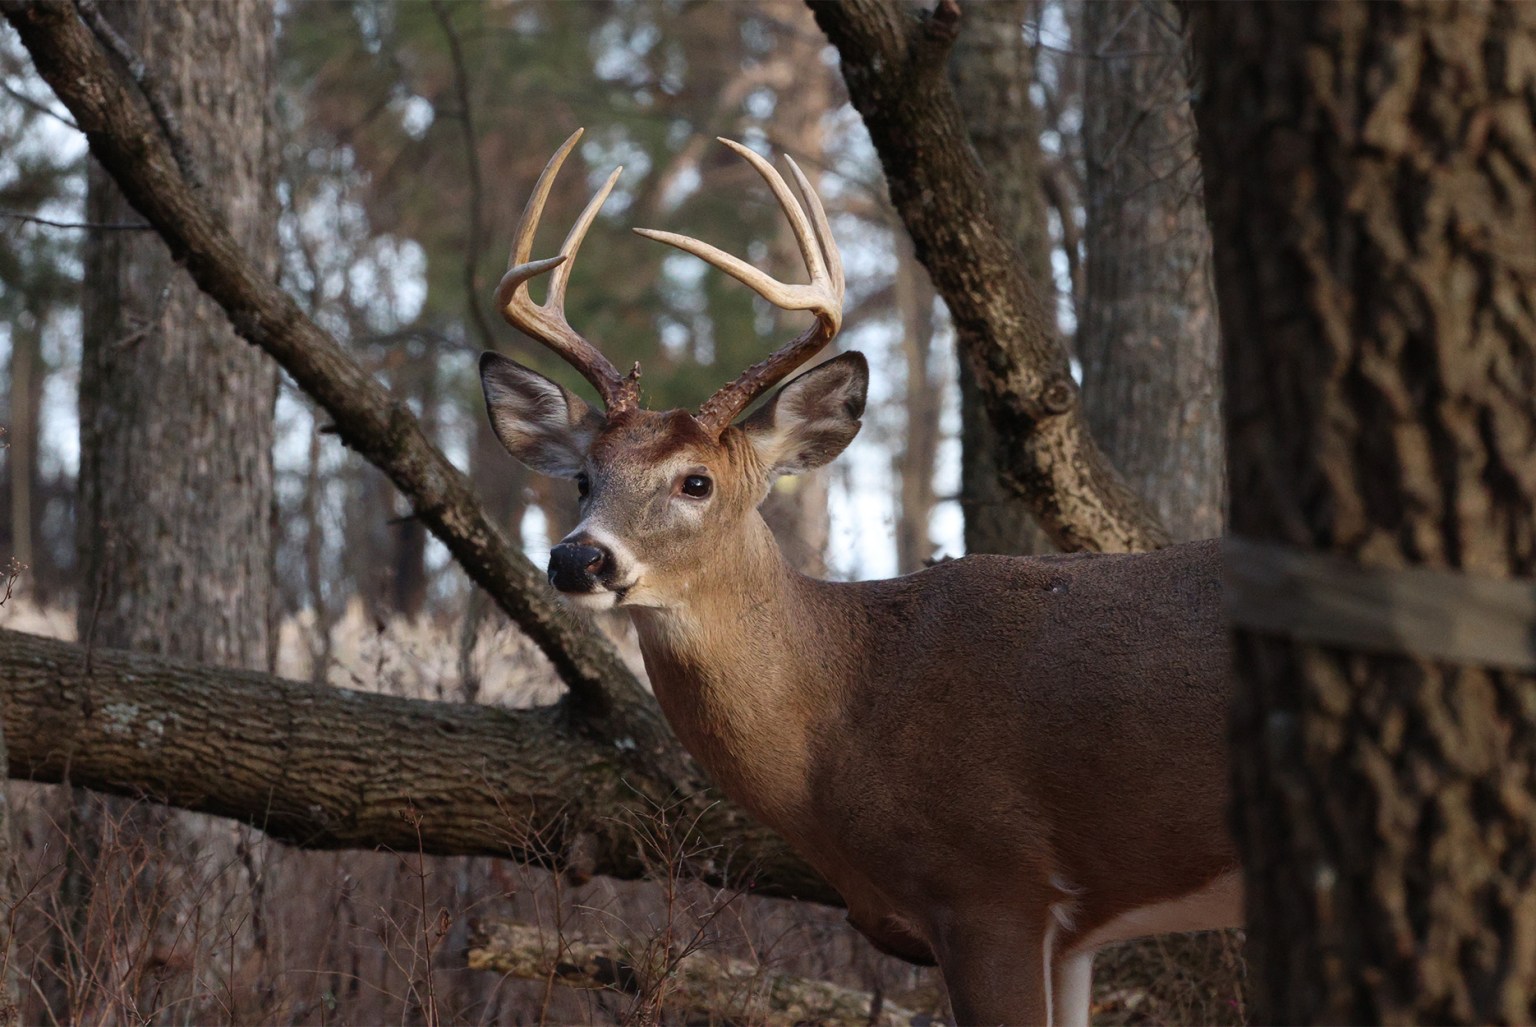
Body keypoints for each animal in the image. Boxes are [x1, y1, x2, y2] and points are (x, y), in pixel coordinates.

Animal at [479, 129, 1240, 1026]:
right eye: (582, 479)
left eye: (696, 481)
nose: (577, 557)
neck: (848, 708)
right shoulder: (1075, 933)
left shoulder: (993, 883)